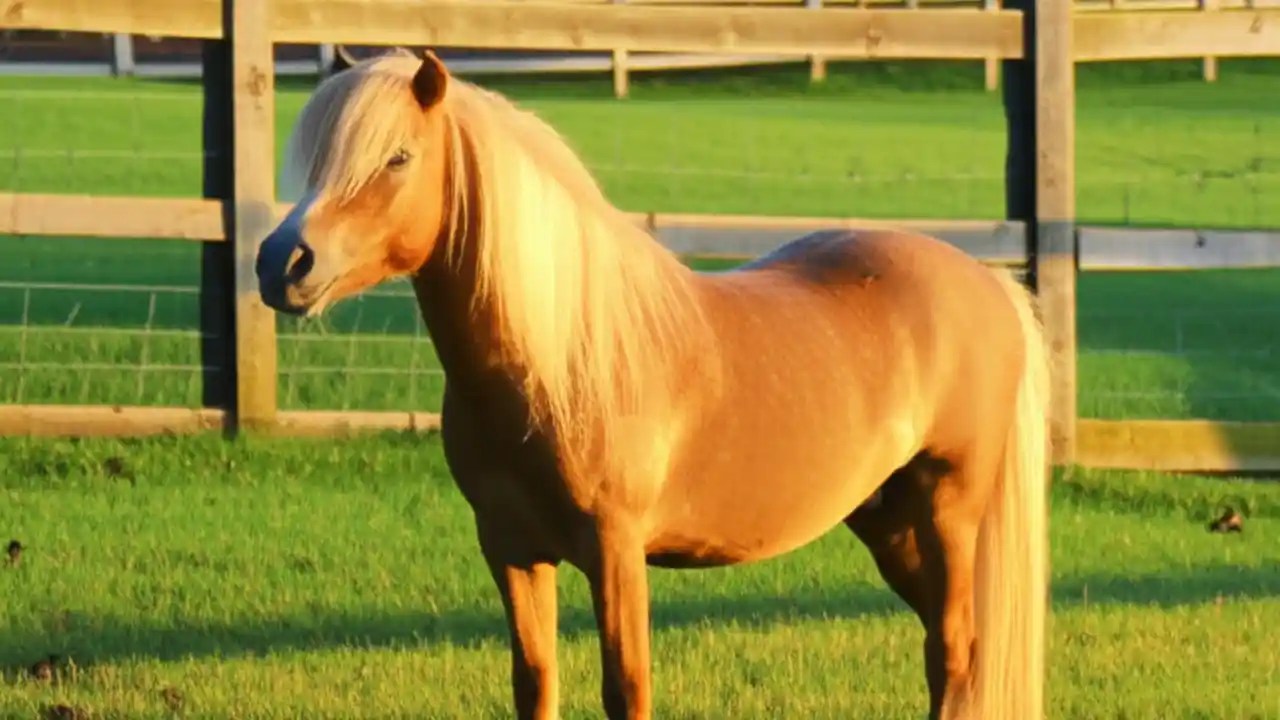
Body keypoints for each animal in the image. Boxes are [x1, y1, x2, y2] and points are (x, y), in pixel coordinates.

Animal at [255, 50, 1051, 720]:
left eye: (397, 157)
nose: (281, 263)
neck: (560, 362)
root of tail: (989, 283)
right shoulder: (510, 548)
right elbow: (534, 684)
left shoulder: (616, 551)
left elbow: (626, 689)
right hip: (890, 524)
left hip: (948, 513)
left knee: (954, 654)